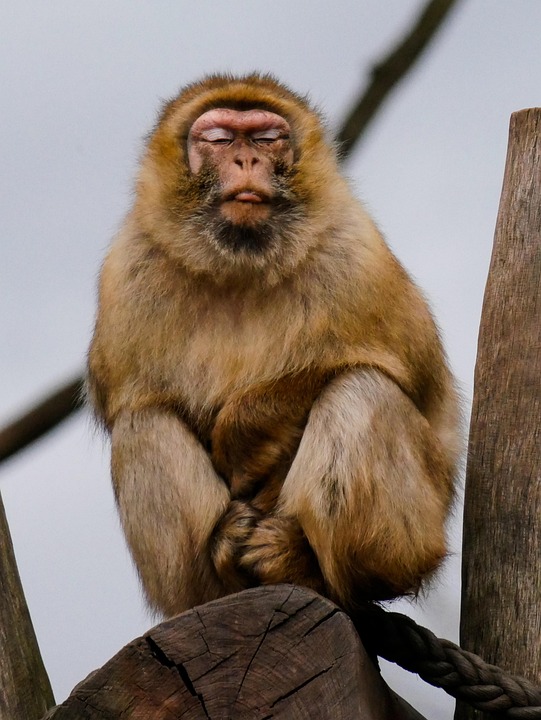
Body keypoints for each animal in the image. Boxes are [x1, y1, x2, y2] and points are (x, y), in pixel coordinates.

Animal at [87, 73, 461, 619]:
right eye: (220, 139)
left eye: (267, 138)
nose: (247, 161)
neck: (240, 265)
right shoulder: (127, 271)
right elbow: (128, 402)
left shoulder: (353, 251)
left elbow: (404, 365)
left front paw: (245, 435)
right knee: (143, 421)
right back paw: (224, 554)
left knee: (359, 387)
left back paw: (308, 563)